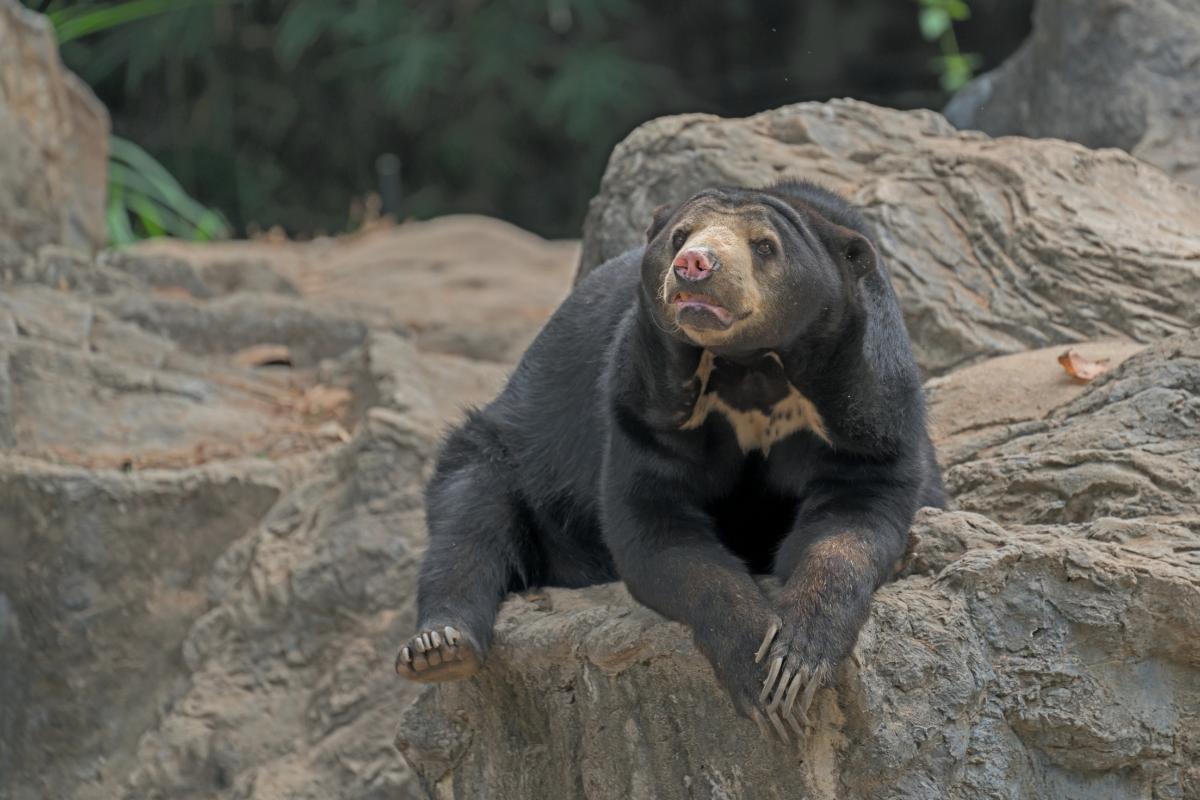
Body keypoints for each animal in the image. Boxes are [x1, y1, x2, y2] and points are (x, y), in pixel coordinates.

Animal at [395, 181, 946, 740]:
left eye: (764, 245)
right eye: (680, 235)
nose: (695, 264)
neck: (751, 370)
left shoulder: (868, 410)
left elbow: (853, 520)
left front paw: (796, 664)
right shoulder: (643, 406)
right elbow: (658, 526)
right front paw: (756, 670)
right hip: (508, 451)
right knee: (469, 522)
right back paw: (440, 648)